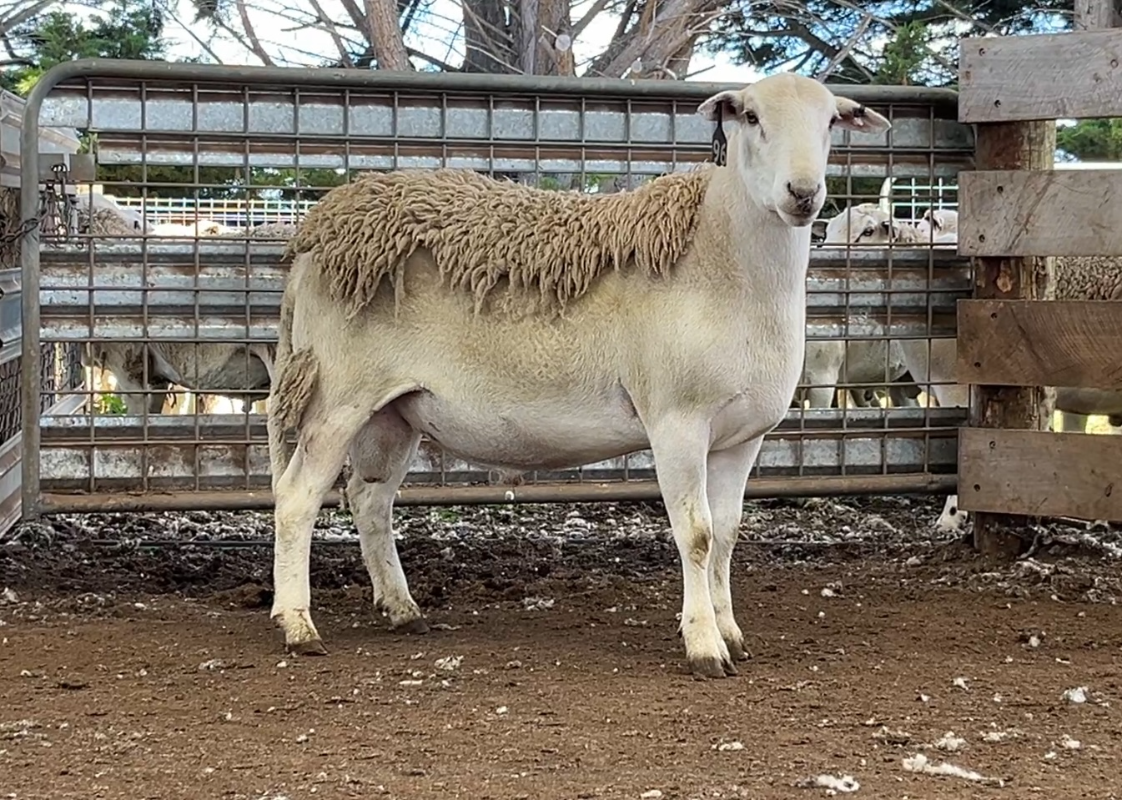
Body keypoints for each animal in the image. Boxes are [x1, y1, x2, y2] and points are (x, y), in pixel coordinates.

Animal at [264, 72, 892, 678]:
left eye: (831, 121)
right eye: (753, 117)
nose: (803, 194)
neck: (723, 265)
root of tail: (315, 235)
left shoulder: (743, 436)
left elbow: (729, 534)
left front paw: (731, 632)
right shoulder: (677, 420)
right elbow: (697, 534)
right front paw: (704, 646)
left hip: (394, 409)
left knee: (369, 499)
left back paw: (402, 610)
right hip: (337, 393)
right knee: (297, 497)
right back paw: (298, 625)